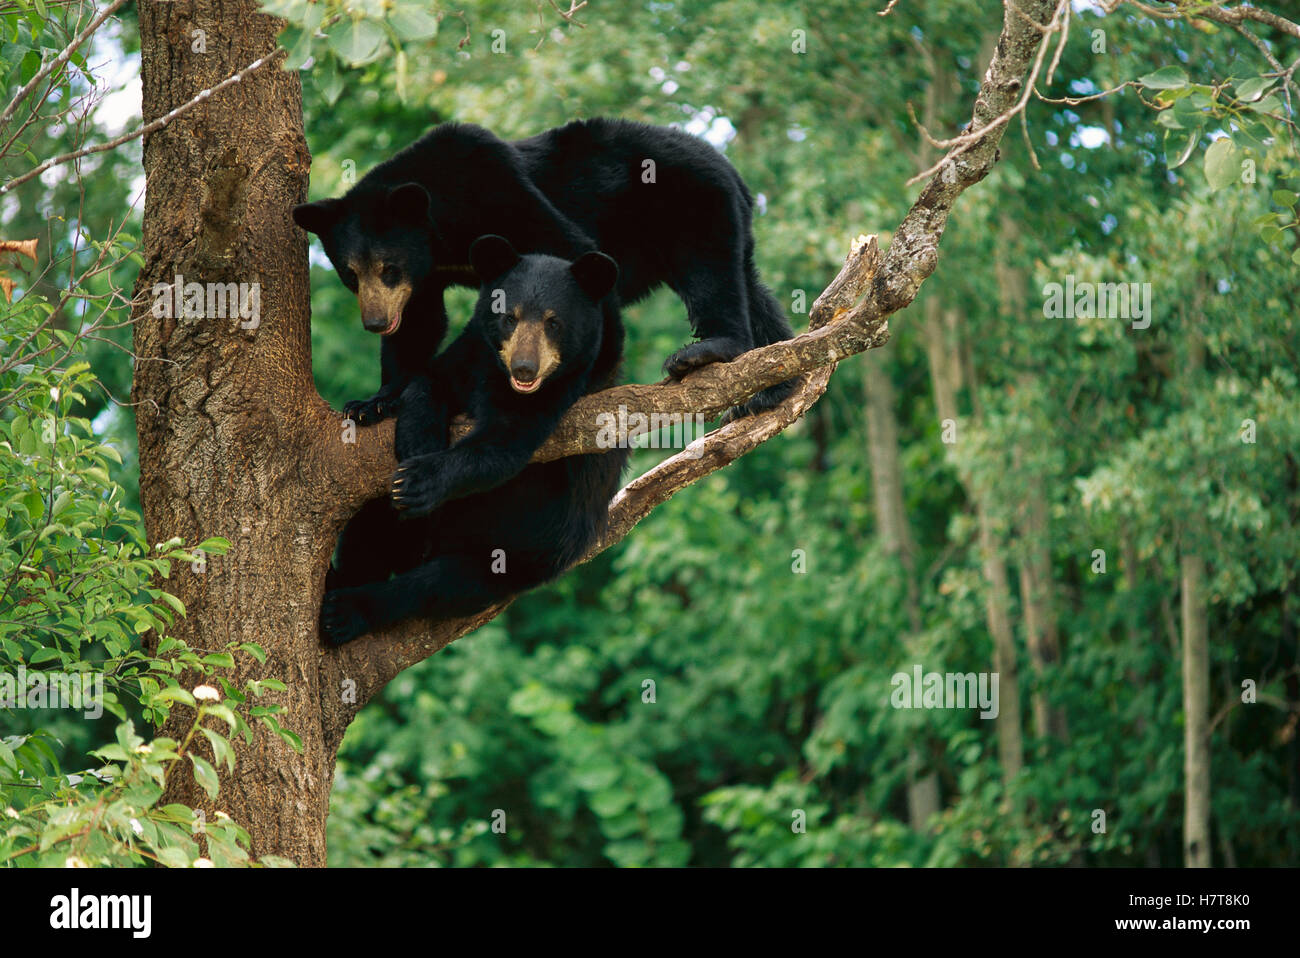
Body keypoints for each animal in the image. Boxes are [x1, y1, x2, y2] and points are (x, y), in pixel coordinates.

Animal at [292, 117, 795, 426]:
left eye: (389, 268)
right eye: (350, 273)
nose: (375, 322)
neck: (443, 230)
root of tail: (733, 170)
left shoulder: (503, 193)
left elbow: (575, 256)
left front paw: (588, 377)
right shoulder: (427, 273)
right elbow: (419, 323)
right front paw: (372, 403)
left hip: (692, 203)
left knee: (711, 276)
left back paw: (709, 350)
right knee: (753, 290)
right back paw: (771, 388)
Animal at [319, 235, 627, 646]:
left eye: (554, 322)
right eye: (509, 317)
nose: (524, 369)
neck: (501, 379)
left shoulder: (562, 392)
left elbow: (501, 446)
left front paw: (419, 480)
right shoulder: (472, 351)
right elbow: (428, 382)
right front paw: (417, 442)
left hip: (514, 554)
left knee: (436, 585)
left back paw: (346, 611)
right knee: (370, 523)